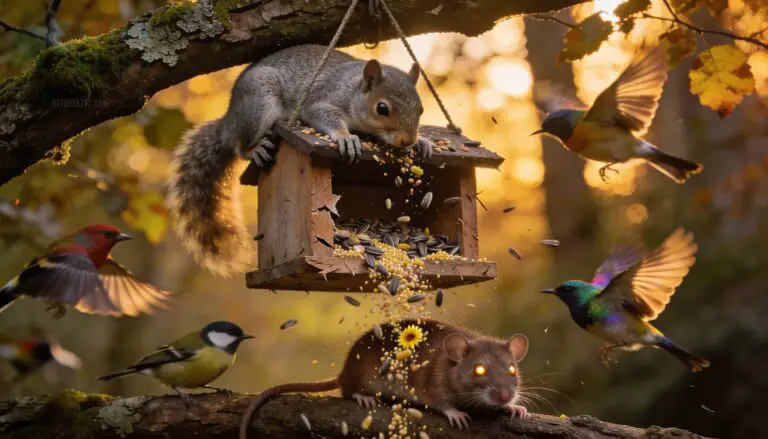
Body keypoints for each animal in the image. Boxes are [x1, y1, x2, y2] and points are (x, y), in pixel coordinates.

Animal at [168, 45, 433, 277]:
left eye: (421, 110)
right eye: (382, 108)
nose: (407, 140)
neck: (353, 89)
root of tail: (228, 121)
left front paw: (423, 143)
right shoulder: (321, 100)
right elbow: (322, 115)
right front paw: (346, 138)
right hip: (258, 103)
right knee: (239, 144)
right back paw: (253, 149)